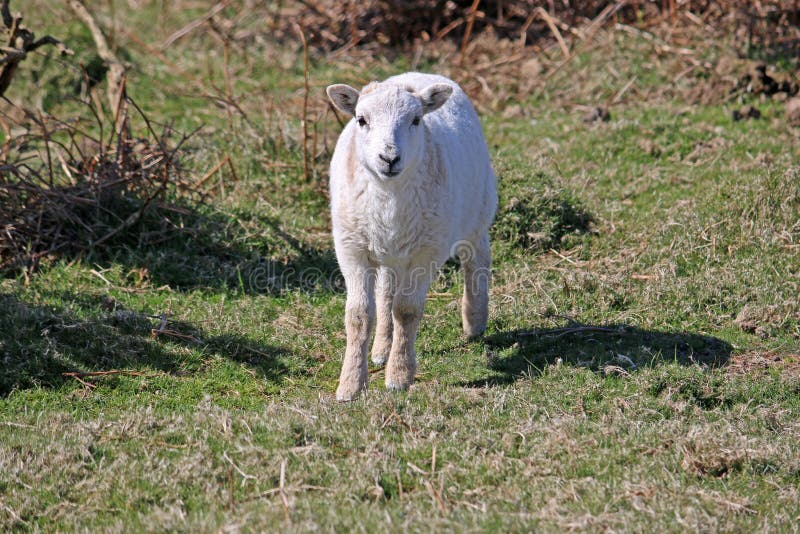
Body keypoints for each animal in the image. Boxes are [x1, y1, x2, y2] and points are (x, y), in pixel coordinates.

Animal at [326, 72, 497, 401]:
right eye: (361, 120)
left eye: (416, 120)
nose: (389, 158)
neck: (388, 194)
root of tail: (419, 75)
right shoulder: (352, 248)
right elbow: (359, 315)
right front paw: (350, 384)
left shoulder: (426, 251)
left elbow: (405, 312)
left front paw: (399, 377)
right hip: (390, 249)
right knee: (386, 292)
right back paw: (381, 349)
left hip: (478, 208)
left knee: (477, 259)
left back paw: (474, 321)